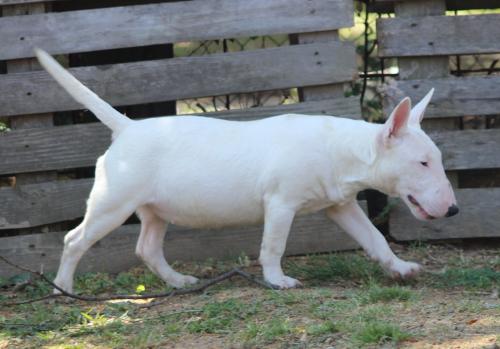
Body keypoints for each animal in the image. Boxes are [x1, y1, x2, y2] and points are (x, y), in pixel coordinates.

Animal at [34, 47, 458, 290]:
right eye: (422, 163)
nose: (453, 210)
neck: (340, 149)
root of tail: (127, 127)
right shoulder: (280, 203)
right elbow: (273, 245)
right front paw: (278, 281)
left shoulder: (342, 205)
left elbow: (374, 238)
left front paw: (401, 268)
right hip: (113, 202)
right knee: (75, 239)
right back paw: (64, 289)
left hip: (154, 209)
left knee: (147, 248)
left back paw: (179, 282)